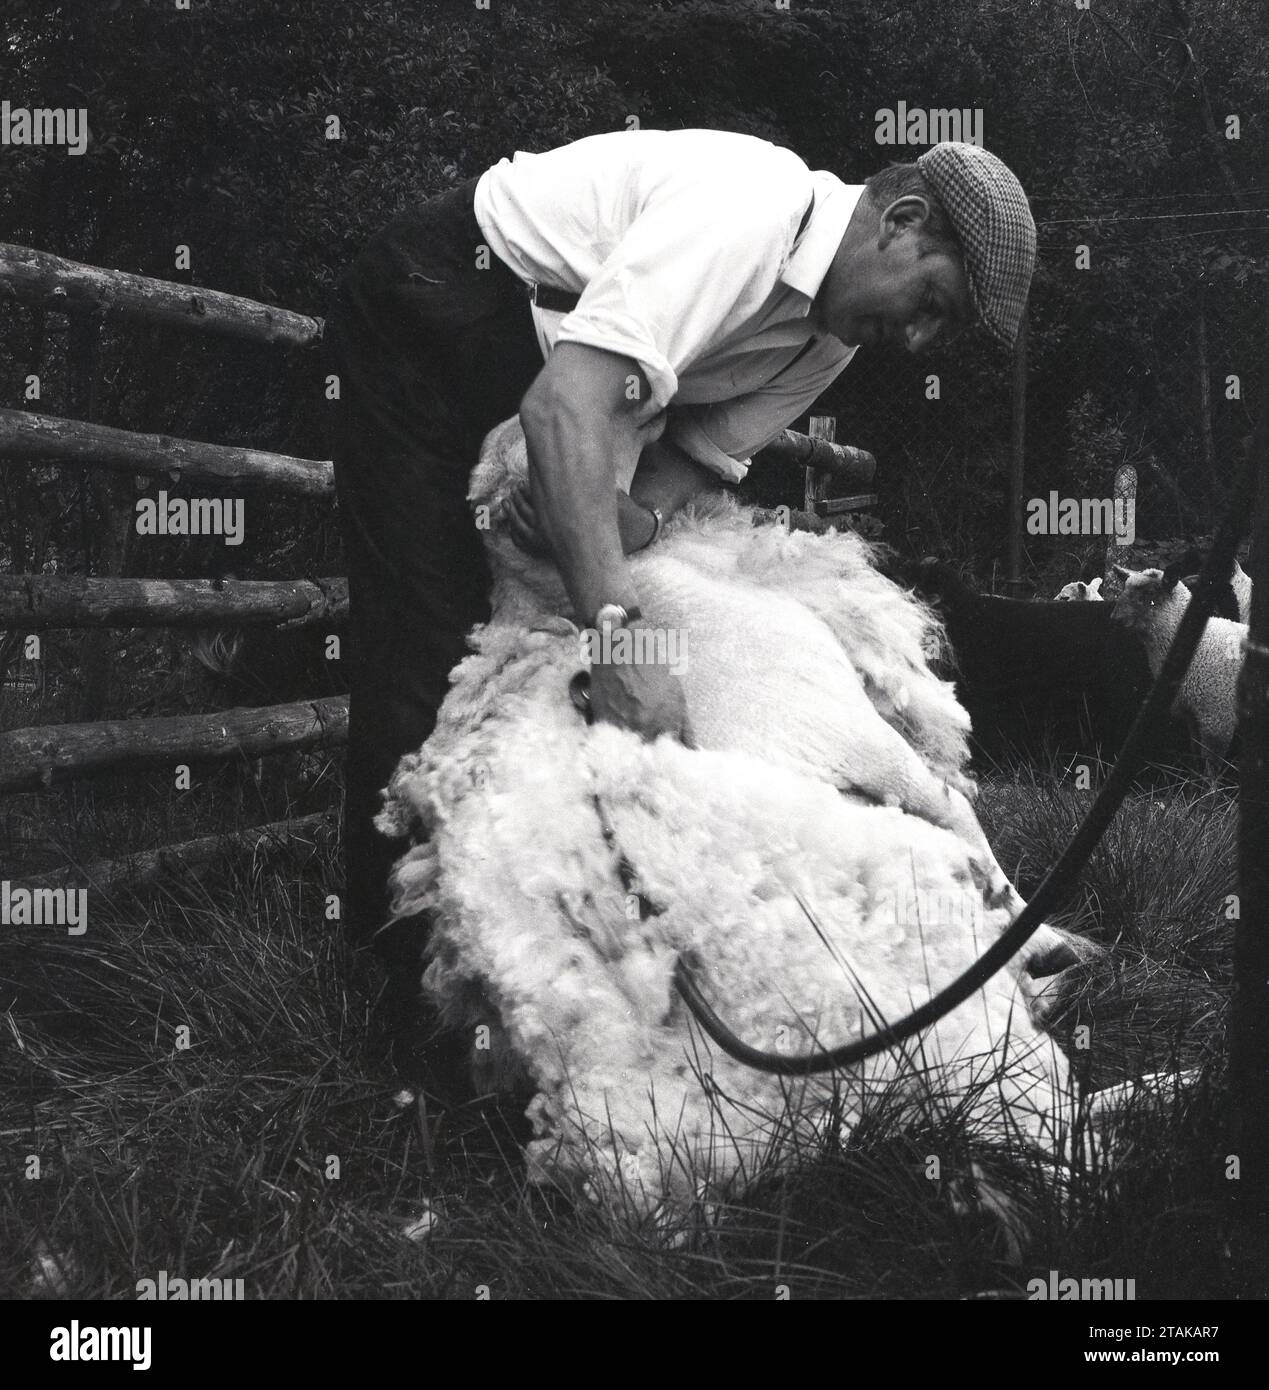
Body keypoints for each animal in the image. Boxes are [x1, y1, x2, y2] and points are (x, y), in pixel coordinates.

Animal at [1110, 564, 1245, 778]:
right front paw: (1193, 783)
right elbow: (1196, 754)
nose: (1114, 619)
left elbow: (1212, 767)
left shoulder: (1218, 716)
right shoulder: (1192, 715)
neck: (1200, 644)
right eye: (1124, 589)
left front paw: (1208, 787)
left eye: (1150, 594)